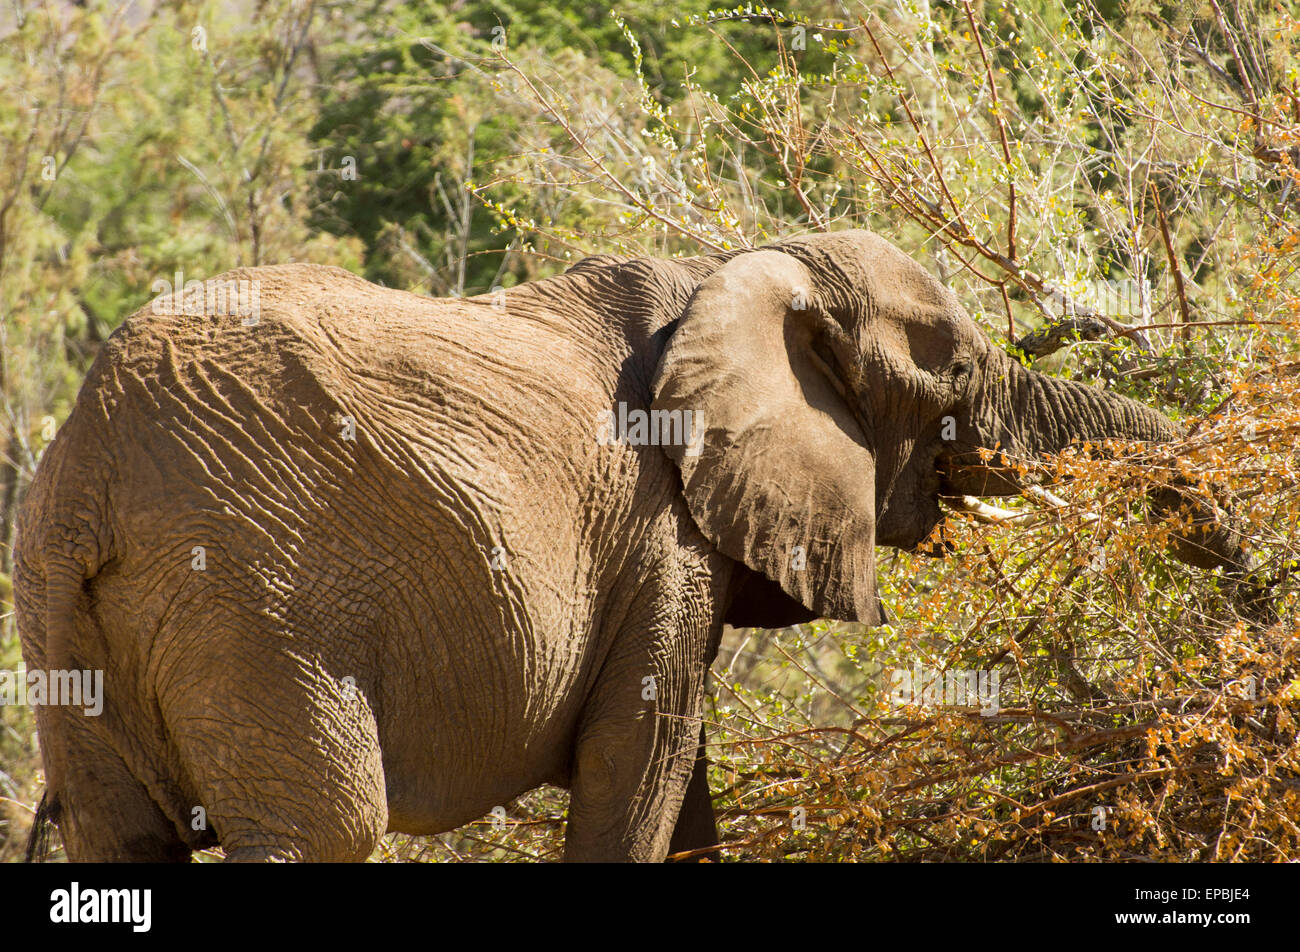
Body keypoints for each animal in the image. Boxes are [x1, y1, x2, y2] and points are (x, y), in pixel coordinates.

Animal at [15, 229, 1255, 862]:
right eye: (948, 371)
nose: (1248, 584)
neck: (736, 274)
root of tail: (90, 471)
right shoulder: (659, 537)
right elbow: (639, 766)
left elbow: (678, 786)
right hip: (254, 605)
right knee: (320, 827)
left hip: (61, 622)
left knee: (121, 837)